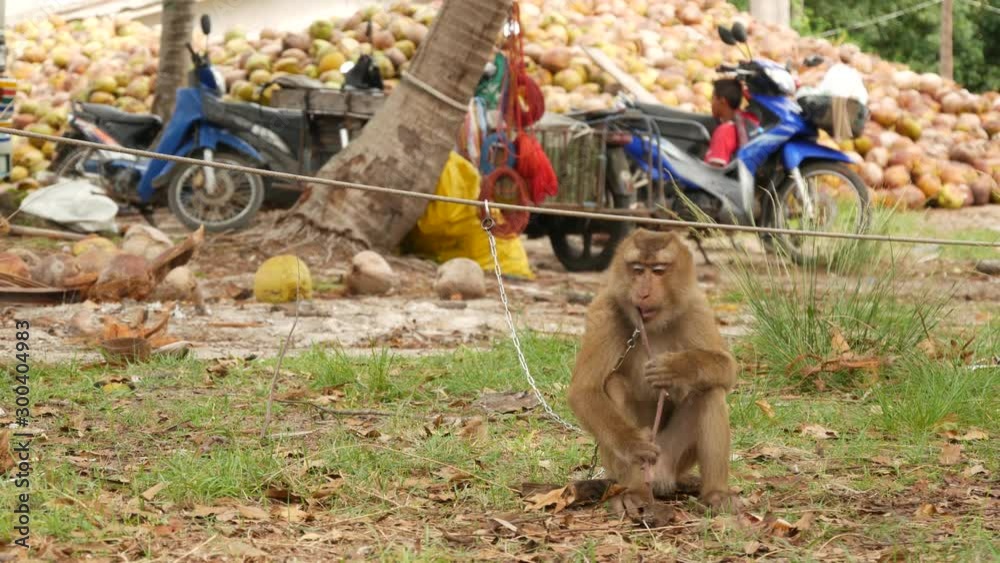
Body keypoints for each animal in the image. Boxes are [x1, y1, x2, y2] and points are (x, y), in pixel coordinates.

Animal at [567, 229, 739, 515]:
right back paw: (635, 492)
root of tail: (659, 479)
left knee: (710, 390)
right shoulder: (605, 309)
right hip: (624, 463)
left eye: (658, 271)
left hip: (674, 457)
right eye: (637, 270)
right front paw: (632, 443)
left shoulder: (695, 306)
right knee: (614, 384)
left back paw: (715, 494)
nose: (643, 293)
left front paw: (677, 367)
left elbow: (727, 368)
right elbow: (585, 390)